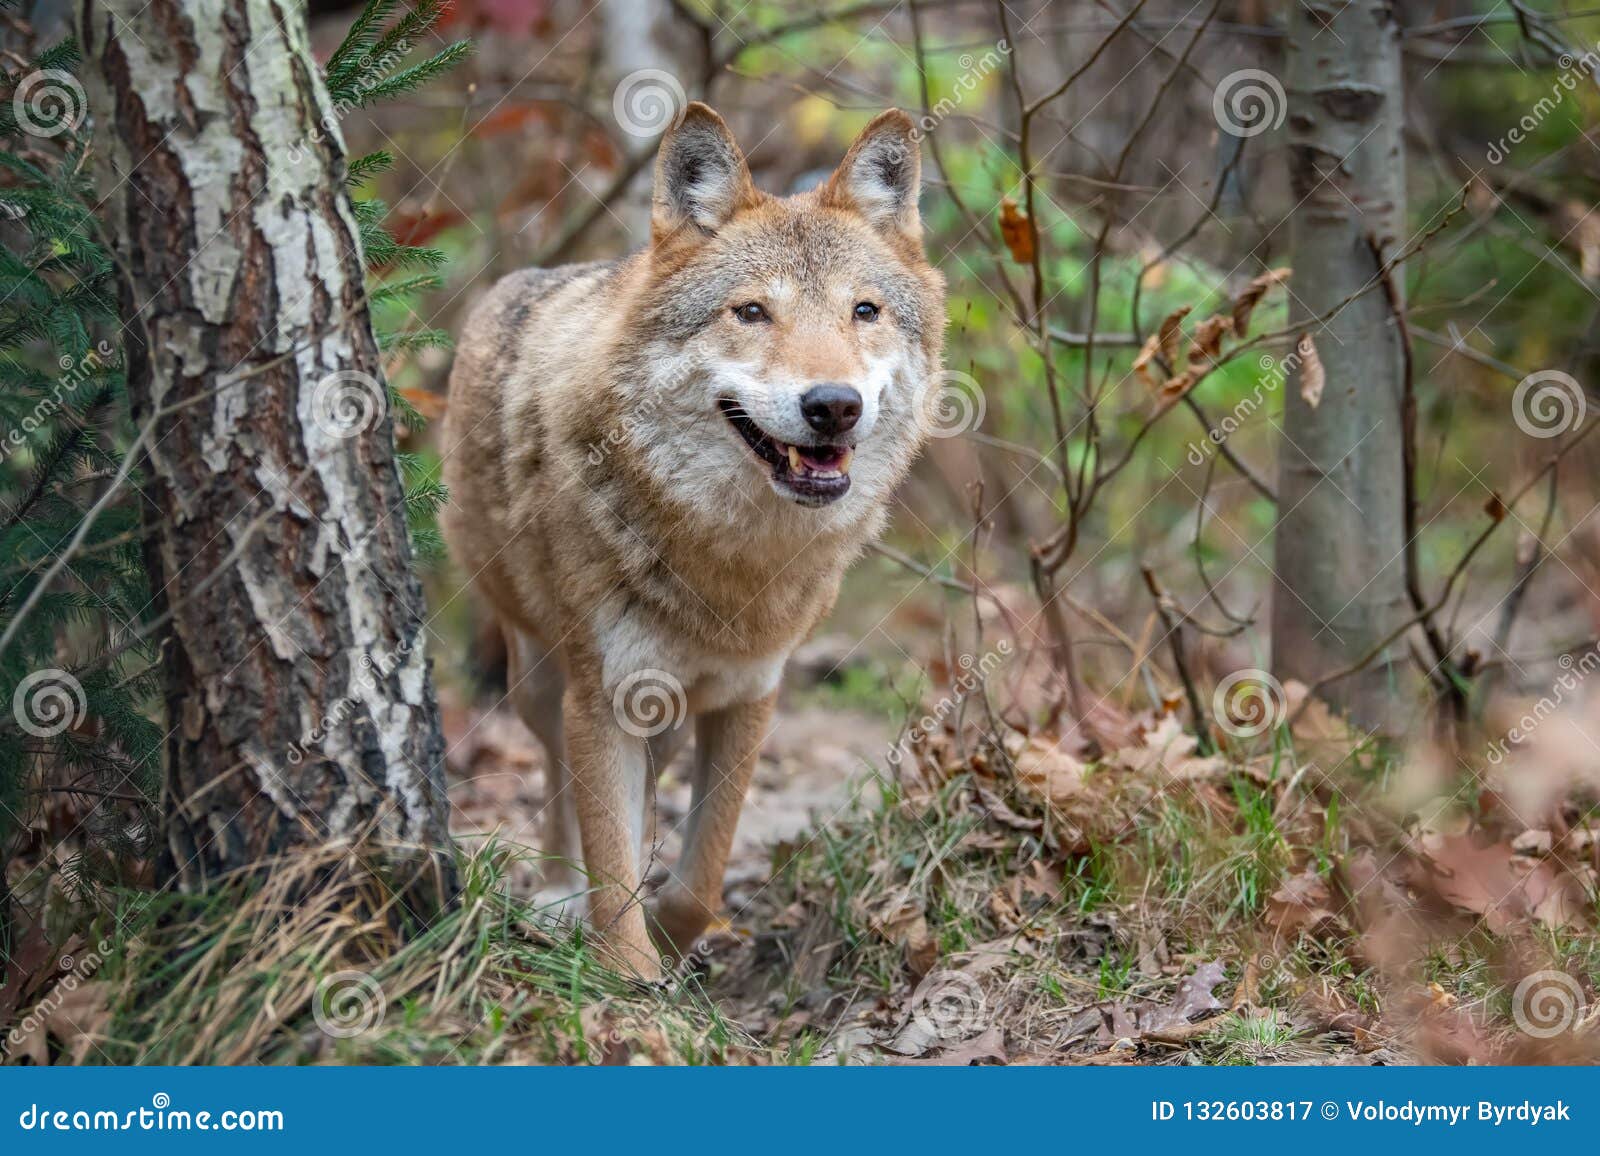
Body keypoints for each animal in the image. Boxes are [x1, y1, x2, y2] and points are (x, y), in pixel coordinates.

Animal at [441, 103, 945, 978]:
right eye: (751, 312)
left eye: (864, 311)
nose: (834, 405)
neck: (729, 559)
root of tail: (519, 278)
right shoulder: (604, 697)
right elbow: (611, 858)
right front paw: (628, 975)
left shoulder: (751, 694)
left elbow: (701, 874)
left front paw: (667, 940)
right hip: (538, 676)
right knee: (557, 783)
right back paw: (555, 893)